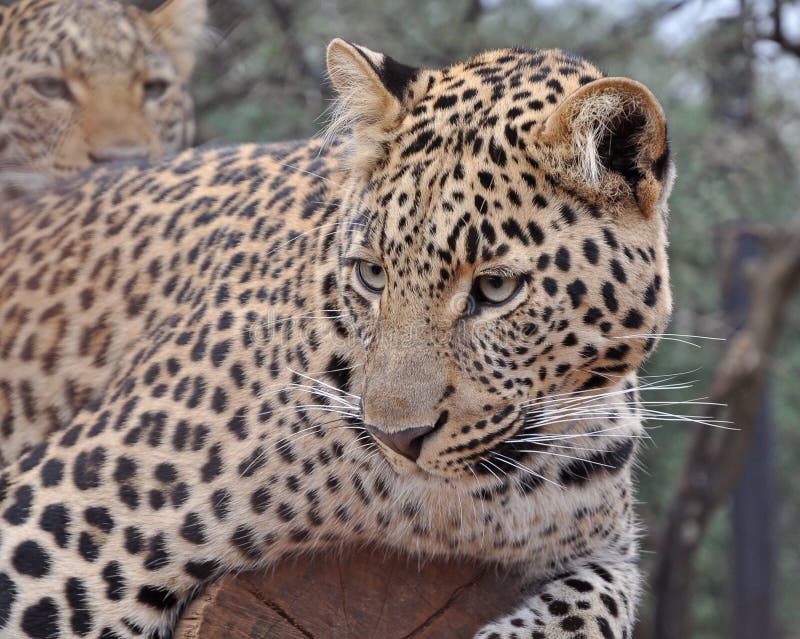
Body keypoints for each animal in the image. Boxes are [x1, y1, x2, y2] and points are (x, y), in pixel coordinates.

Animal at [0, 39, 675, 639]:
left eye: (495, 289)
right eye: (372, 274)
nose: (398, 438)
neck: (441, 513)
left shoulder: (607, 550)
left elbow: (597, 609)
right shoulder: (64, 524)